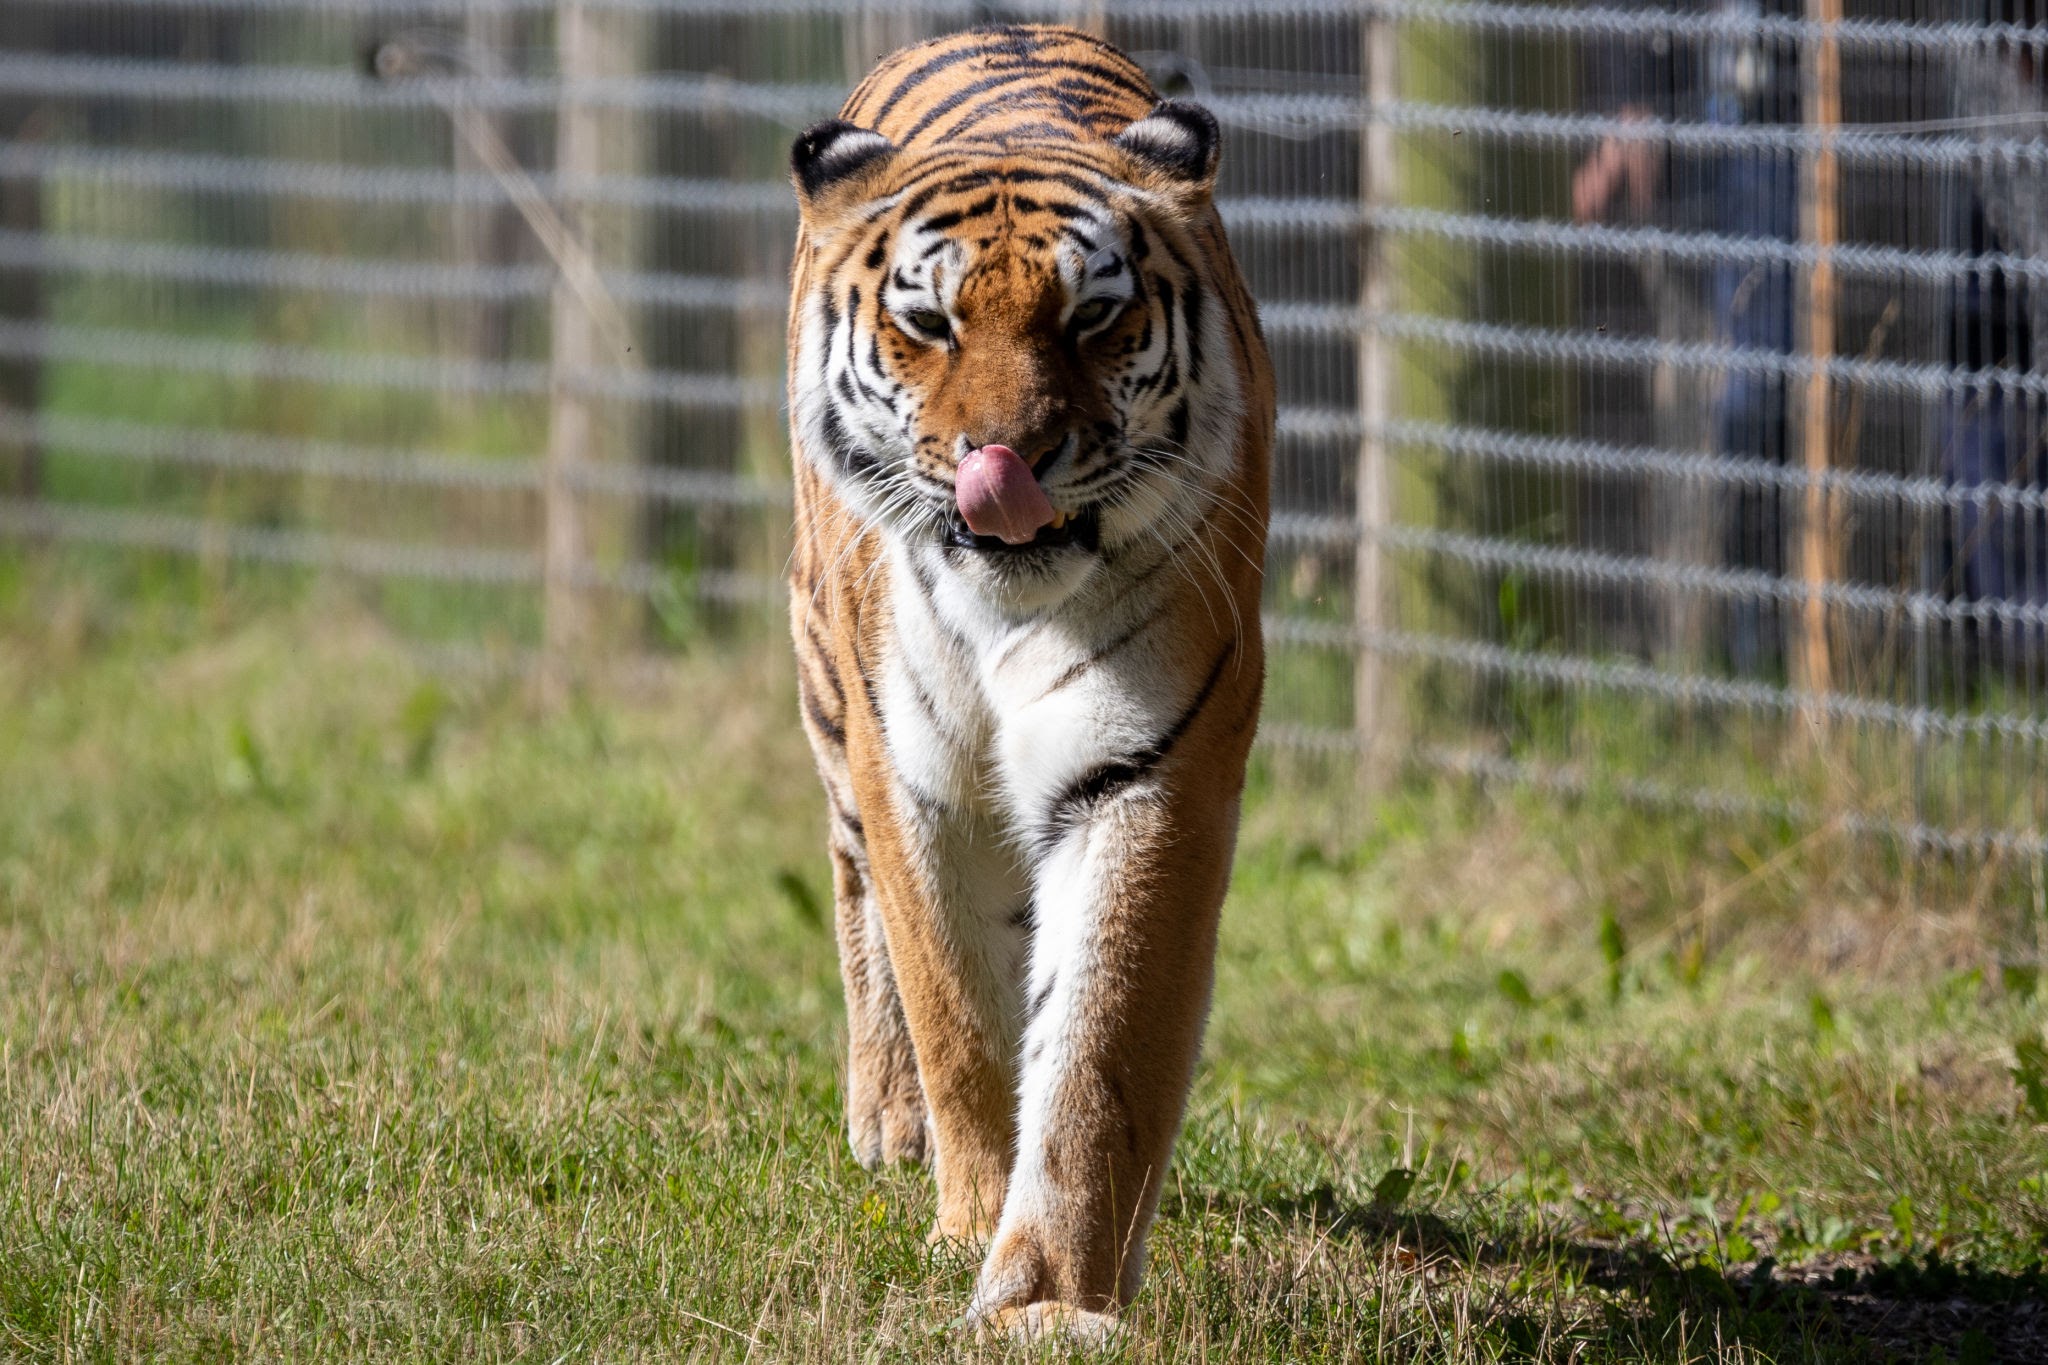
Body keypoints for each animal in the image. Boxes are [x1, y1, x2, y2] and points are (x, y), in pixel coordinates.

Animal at [784, 23, 1272, 1341]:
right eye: (930, 322)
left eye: (1093, 318)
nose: (1010, 458)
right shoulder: (909, 776)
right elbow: (953, 1008)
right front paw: (966, 1219)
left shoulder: (1143, 766)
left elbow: (1097, 1047)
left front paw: (1047, 1295)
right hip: (825, 687)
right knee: (851, 887)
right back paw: (887, 1123)